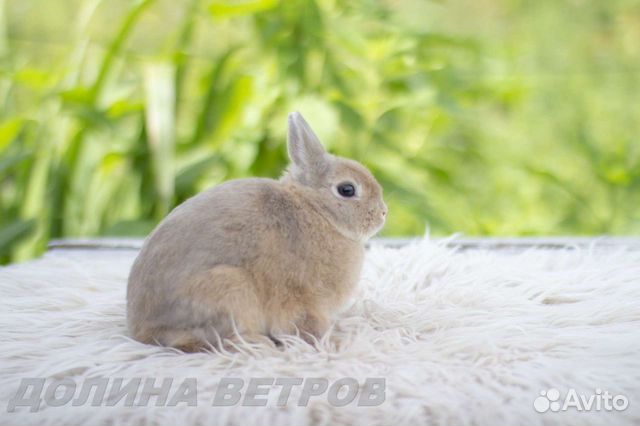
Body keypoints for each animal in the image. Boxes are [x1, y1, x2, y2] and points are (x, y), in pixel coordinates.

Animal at [126, 112, 387, 352]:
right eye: (347, 189)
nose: (383, 213)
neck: (316, 210)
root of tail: (142, 332)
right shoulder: (302, 300)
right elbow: (306, 327)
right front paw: (333, 343)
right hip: (230, 289)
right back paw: (258, 344)